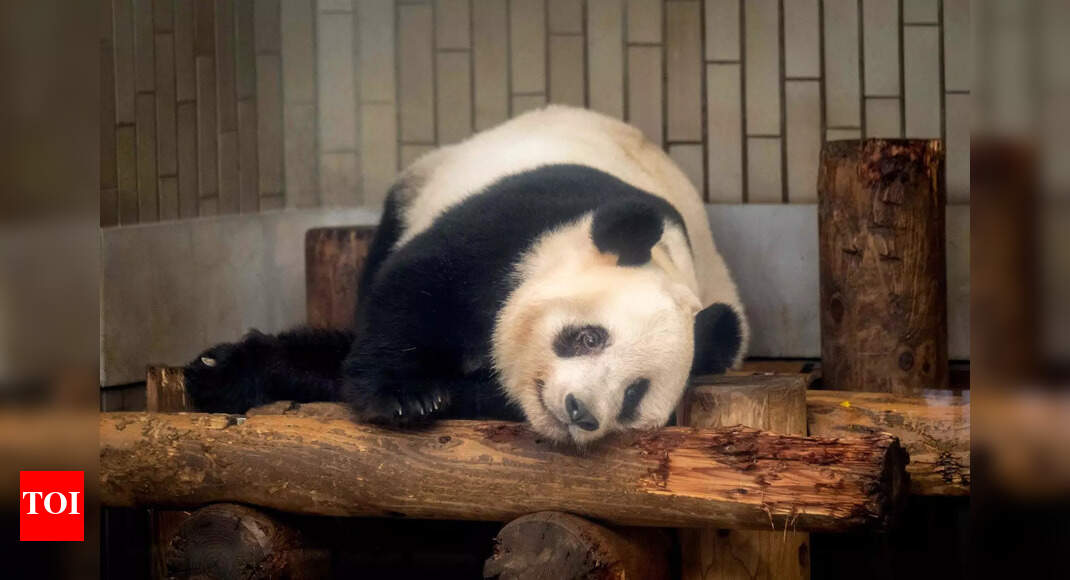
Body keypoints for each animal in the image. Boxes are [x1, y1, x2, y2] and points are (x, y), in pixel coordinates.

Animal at [185, 105, 748, 446]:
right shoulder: (518, 228)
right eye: (589, 337)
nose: (580, 411)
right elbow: (413, 293)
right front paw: (405, 396)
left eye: (633, 394)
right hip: (422, 182)